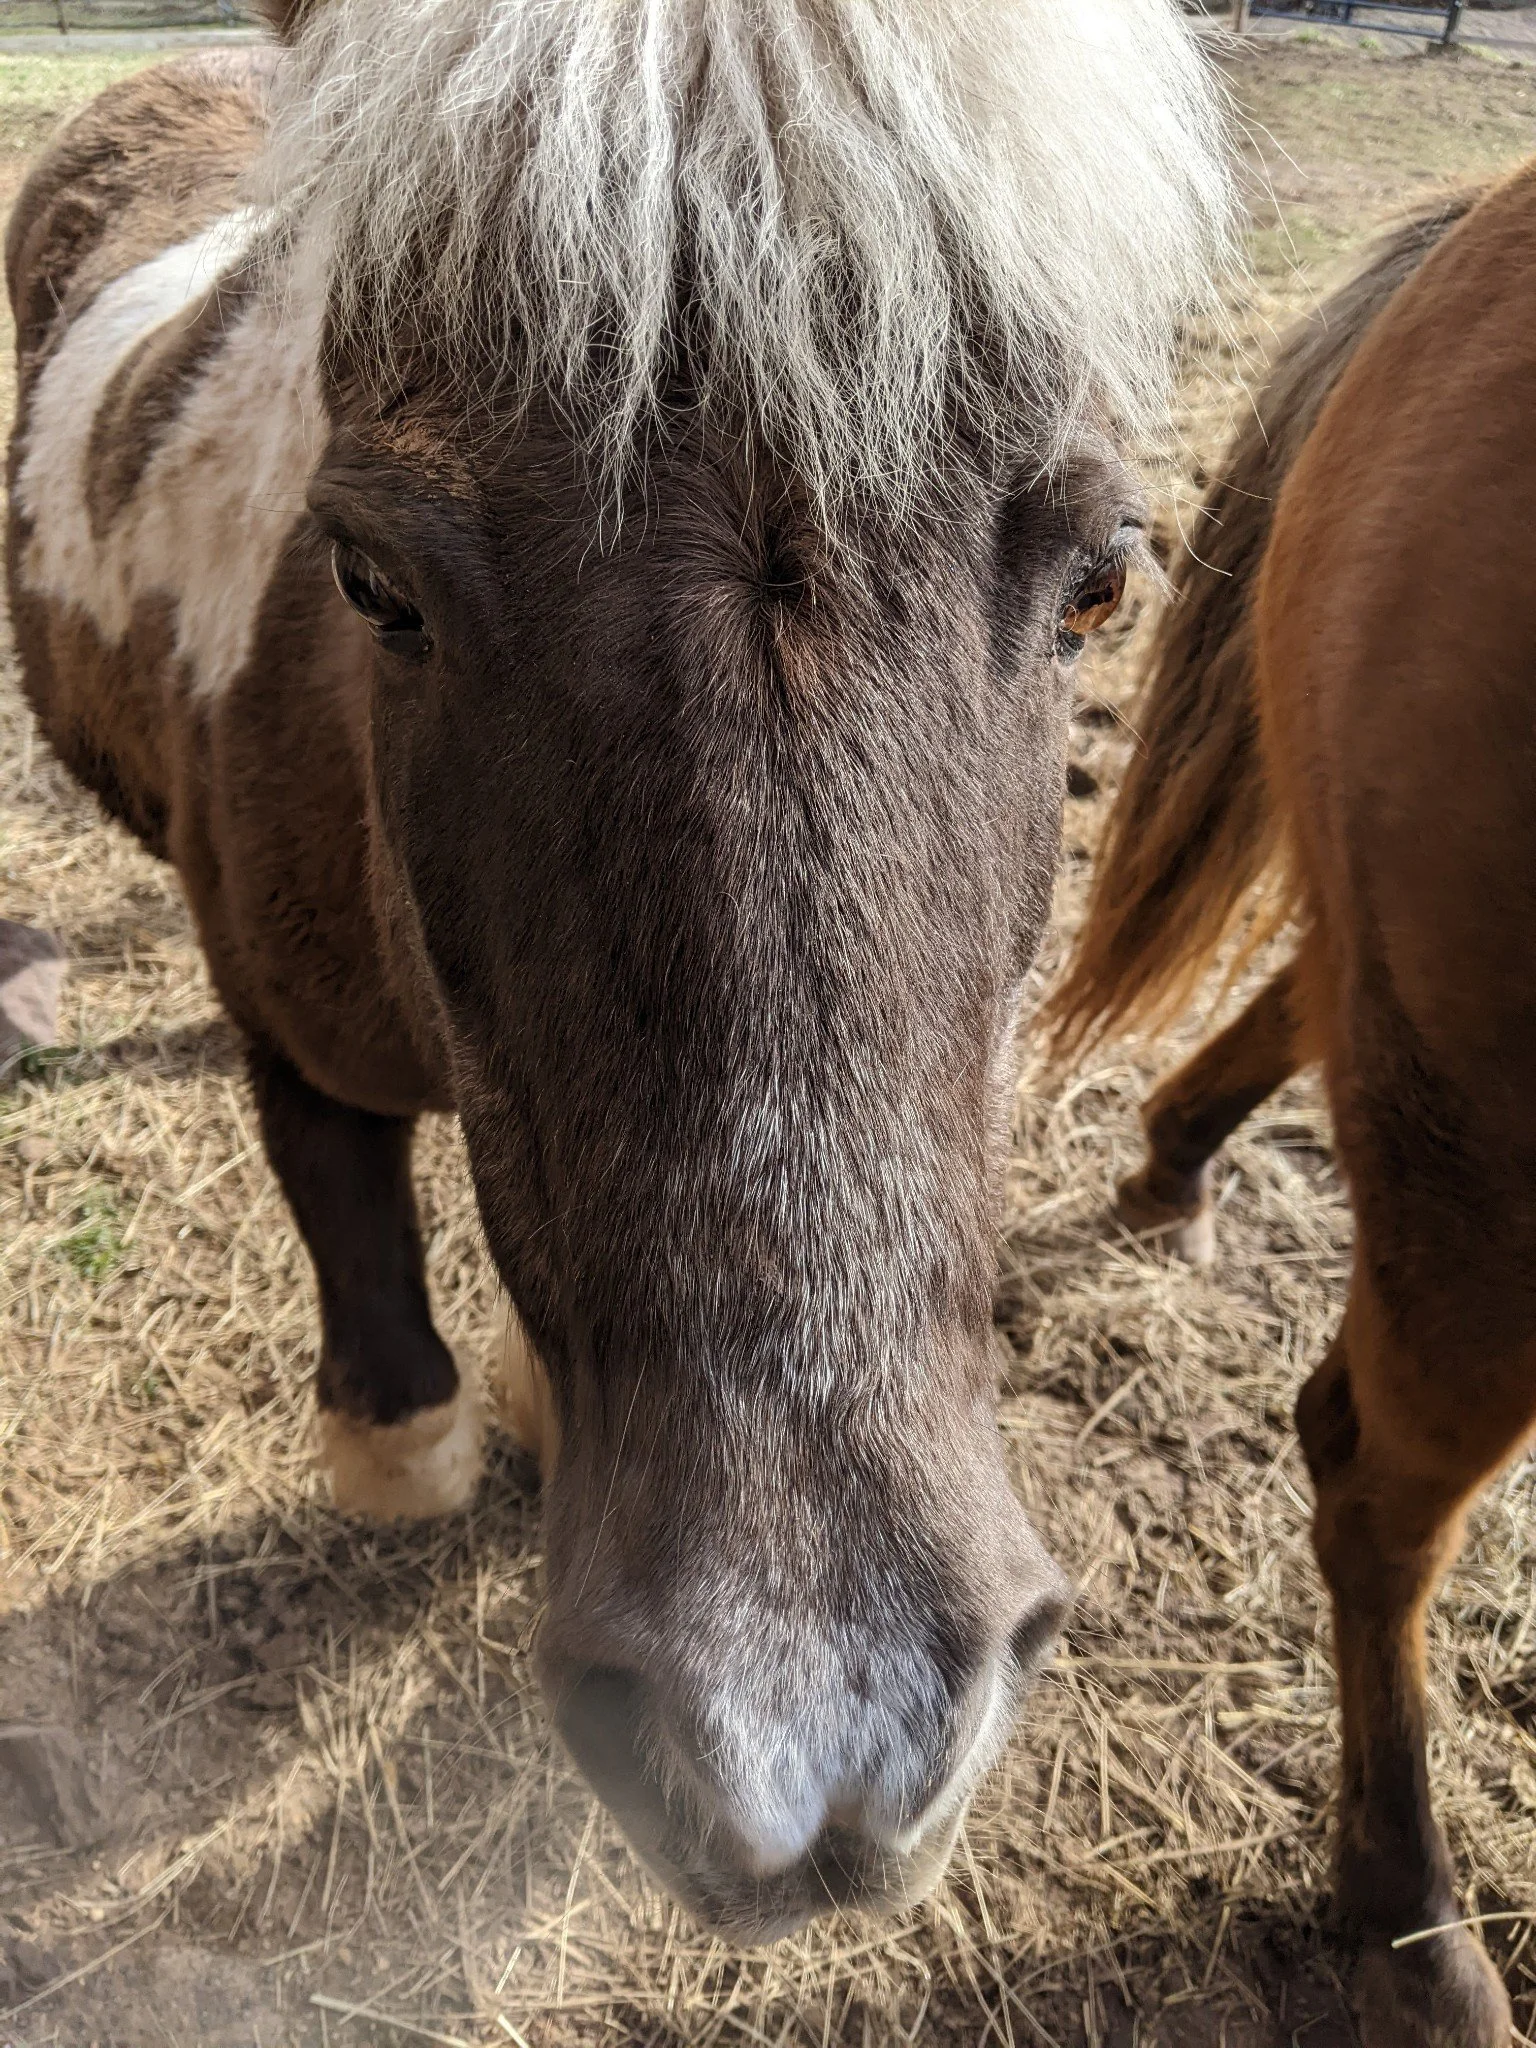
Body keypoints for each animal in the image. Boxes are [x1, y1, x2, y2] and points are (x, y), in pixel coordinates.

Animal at [4, 0, 1230, 1945]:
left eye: (1104, 585)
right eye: (369, 576)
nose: (816, 1747)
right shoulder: (294, 1032)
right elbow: (361, 1248)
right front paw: (407, 1441)